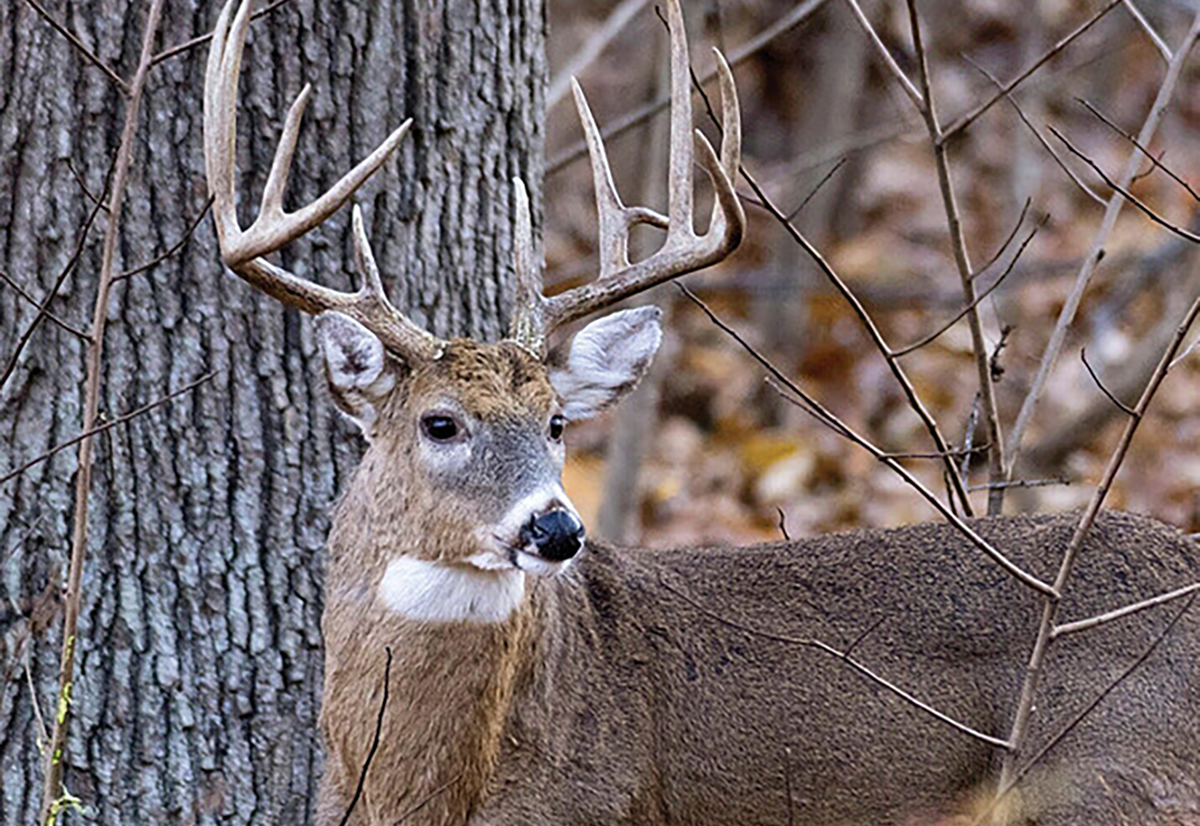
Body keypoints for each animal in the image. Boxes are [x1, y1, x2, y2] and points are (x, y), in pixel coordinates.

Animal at [202, 0, 1200, 823]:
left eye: (556, 422)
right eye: (440, 422)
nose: (557, 528)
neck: (424, 793)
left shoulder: (590, 810)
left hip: (1113, 784)